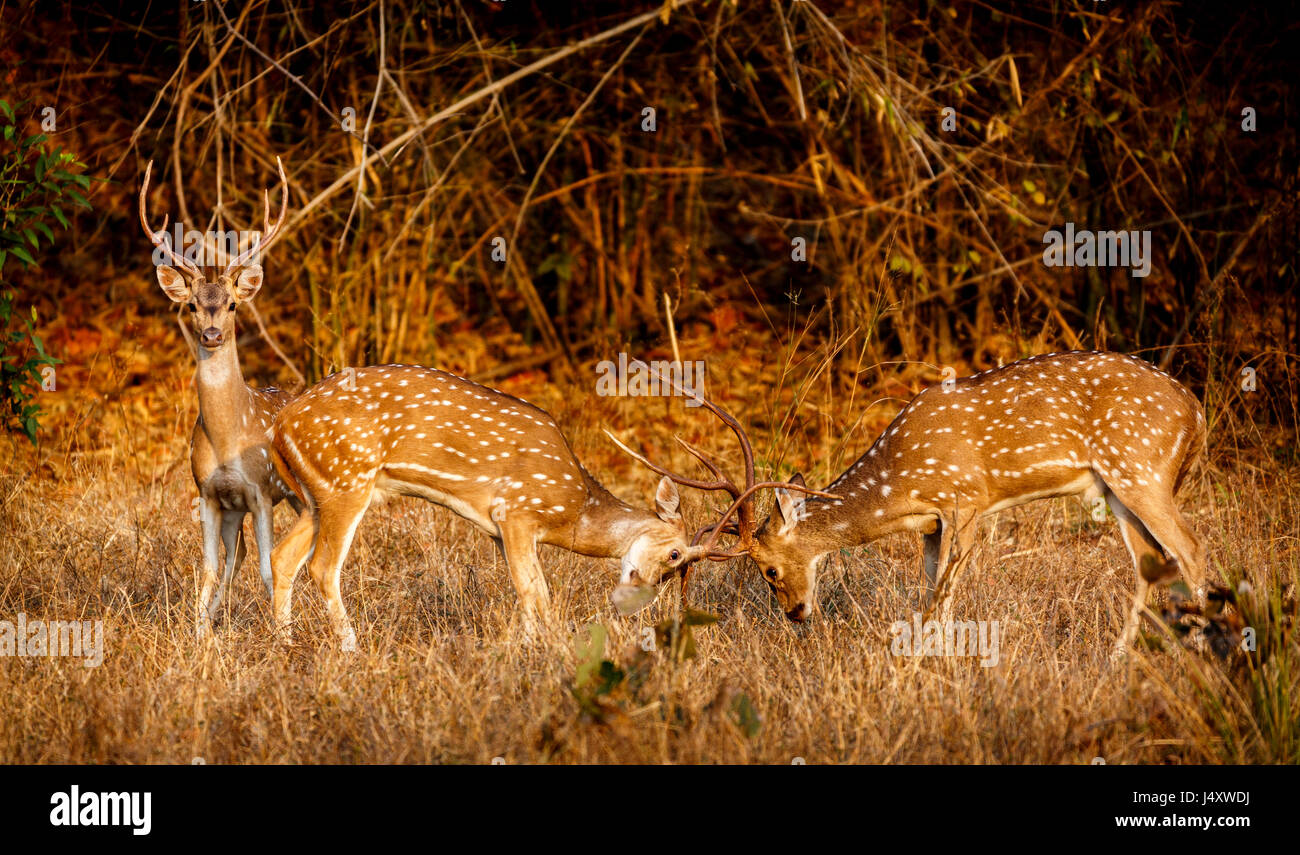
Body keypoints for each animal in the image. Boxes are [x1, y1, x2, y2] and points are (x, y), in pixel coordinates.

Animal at [140, 157, 303, 634]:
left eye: (232, 304)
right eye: (192, 305)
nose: (212, 334)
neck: (229, 439)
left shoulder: (261, 492)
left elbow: (268, 568)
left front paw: (281, 635)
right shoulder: (210, 495)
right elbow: (212, 567)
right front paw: (199, 636)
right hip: (234, 510)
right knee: (237, 556)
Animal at [265, 364, 729, 650]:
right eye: (674, 555)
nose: (637, 600)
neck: (572, 508)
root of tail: (280, 426)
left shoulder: (499, 529)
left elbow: (535, 589)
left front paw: (538, 644)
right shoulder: (518, 510)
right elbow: (532, 589)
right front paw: (541, 649)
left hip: (314, 496)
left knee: (281, 556)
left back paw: (285, 643)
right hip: (347, 479)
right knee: (322, 565)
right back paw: (350, 648)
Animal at [616, 351, 1208, 650]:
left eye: (768, 570)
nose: (796, 613)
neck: (899, 486)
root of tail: (1196, 410)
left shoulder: (966, 500)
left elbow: (942, 595)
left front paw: (927, 663)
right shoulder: (931, 524)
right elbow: (927, 590)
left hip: (1140, 468)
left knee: (1191, 549)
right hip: (1118, 488)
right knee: (1152, 561)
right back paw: (1121, 656)